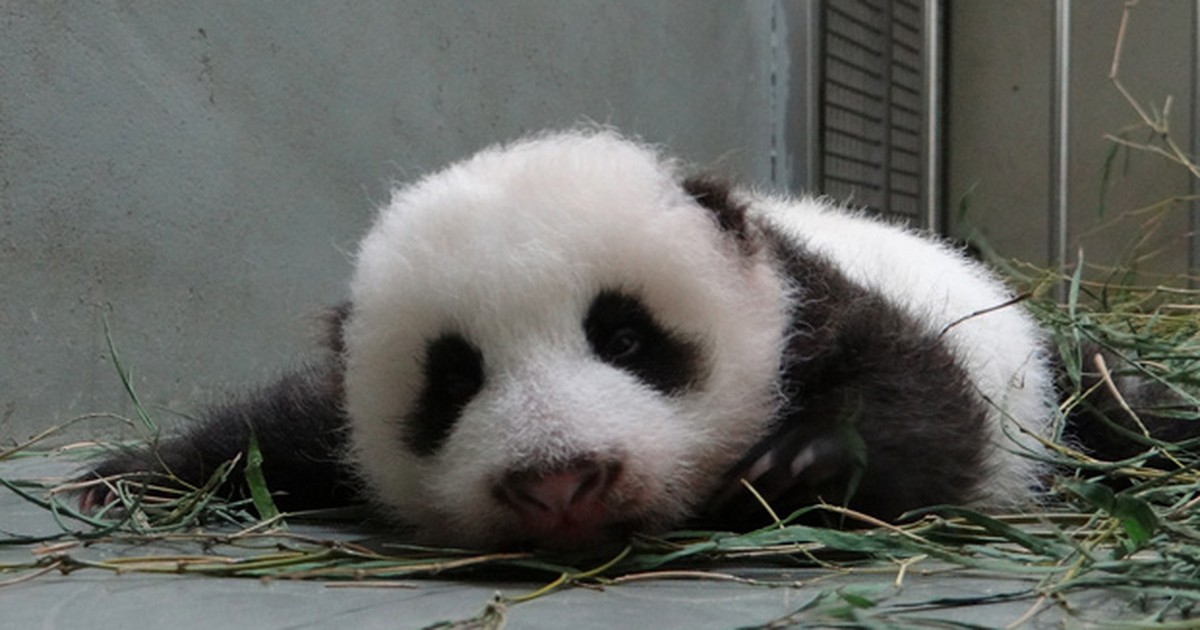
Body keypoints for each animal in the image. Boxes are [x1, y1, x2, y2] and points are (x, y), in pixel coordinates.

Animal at [82, 129, 1058, 551]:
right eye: (453, 380)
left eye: (624, 337)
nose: (559, 483)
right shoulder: (331, 421)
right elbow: (272, 431)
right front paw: (129, 478)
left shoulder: (809, 305)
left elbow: (928, 405)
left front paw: (800, 463)